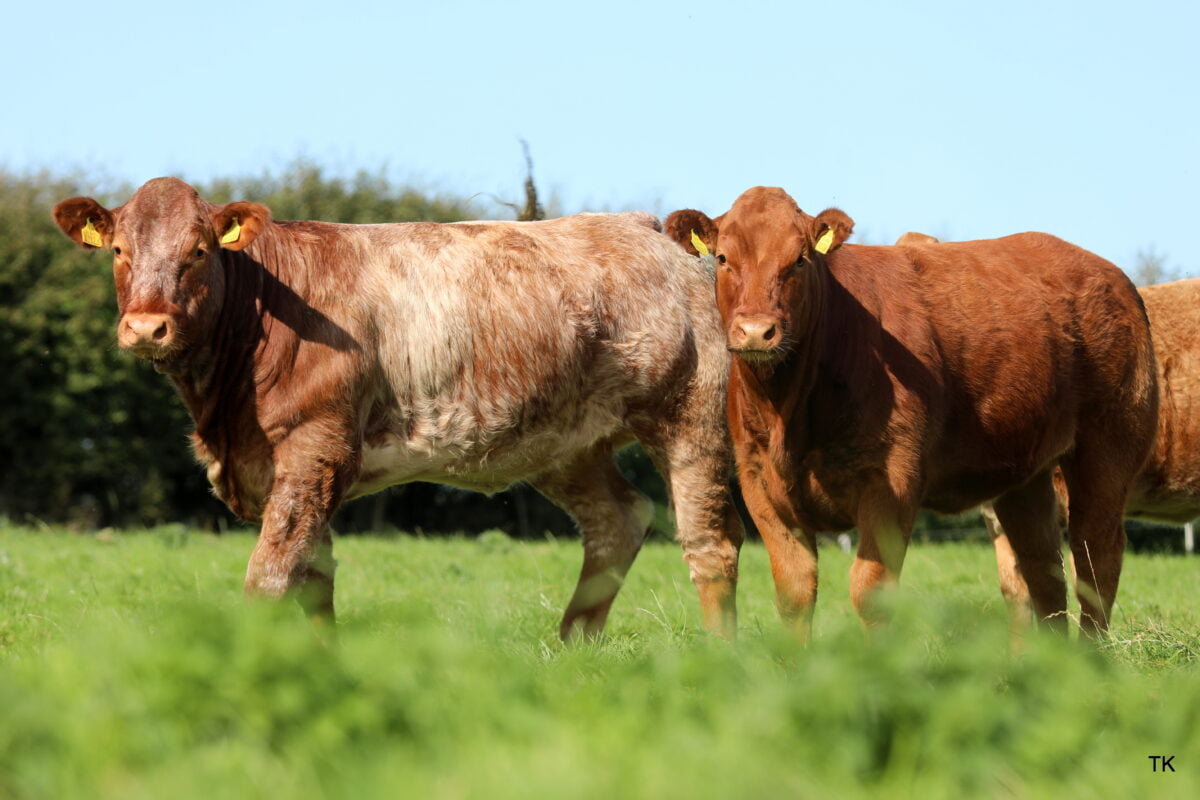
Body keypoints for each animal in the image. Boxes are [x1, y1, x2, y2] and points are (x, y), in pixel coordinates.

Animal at [53, 178, 745, 640]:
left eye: (198, 251)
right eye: (118, 251)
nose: (147, 327)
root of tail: (649, 226)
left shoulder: (318, 445)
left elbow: (272, 573)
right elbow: (313, 578)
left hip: (691, 414)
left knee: (710, 541)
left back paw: (718, 656)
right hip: (565, 441)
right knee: (617, 520)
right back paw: (572, 645)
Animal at [665, 186, 1157, 638]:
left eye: (800, 259)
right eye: (723, 258)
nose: (755, 330)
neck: (791, 412)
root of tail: (1112, 275)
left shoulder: (892, 478)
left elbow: (871, 592)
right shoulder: (759, 482)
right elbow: (795, 594)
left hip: (1108, 450)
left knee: (1096, 561)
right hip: (1025, 475)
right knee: (1043, 571)